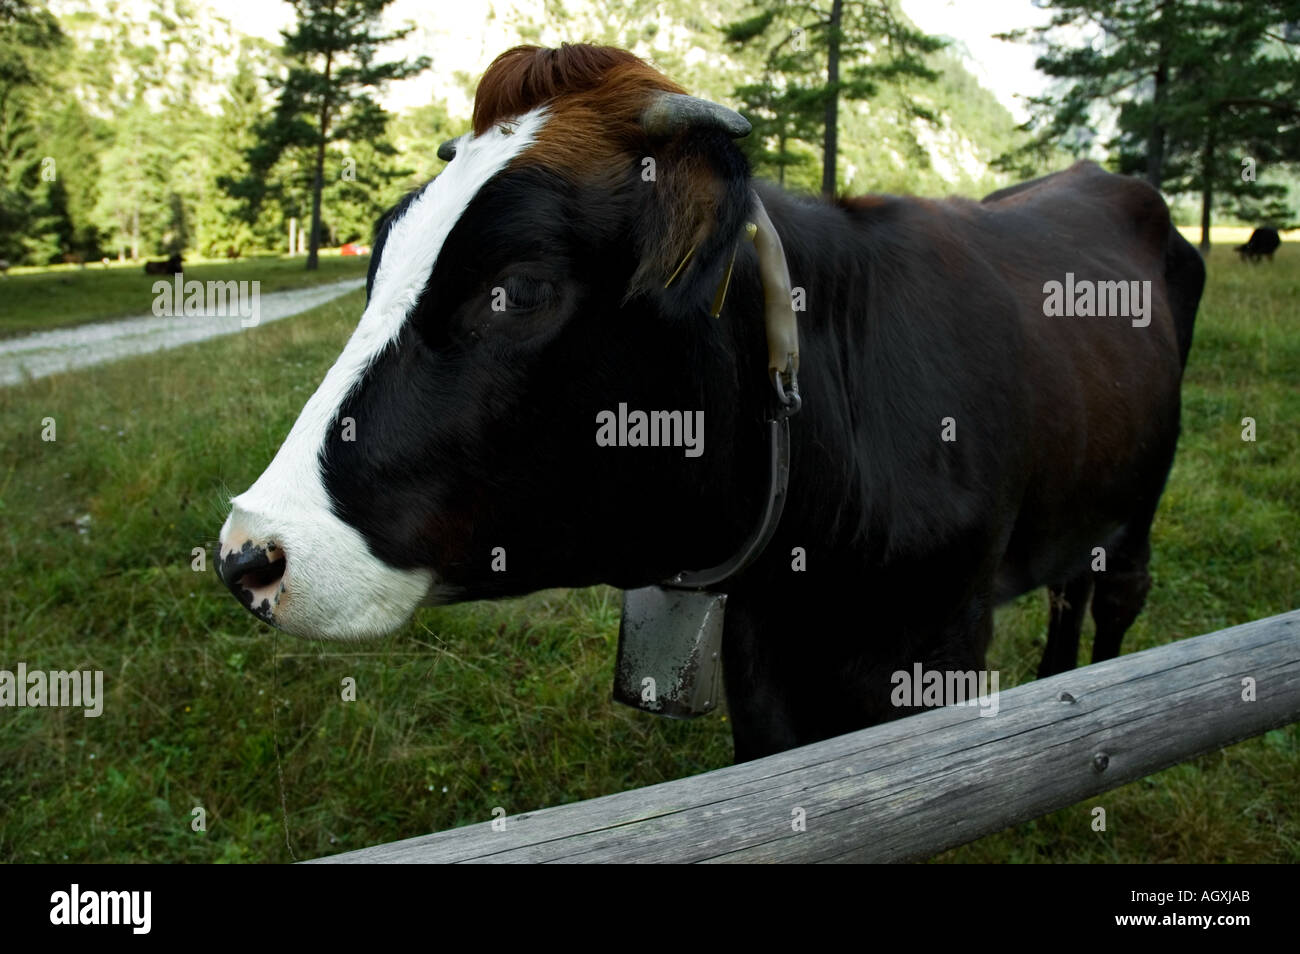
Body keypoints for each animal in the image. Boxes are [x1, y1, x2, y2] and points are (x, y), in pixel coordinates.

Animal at [216, 44, 1204, 762]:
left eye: (520, 288)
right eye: (379, 261)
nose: (247, 554)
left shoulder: (939, 651)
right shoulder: (763, 660)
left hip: (1142, 500)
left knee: (1116, 597)